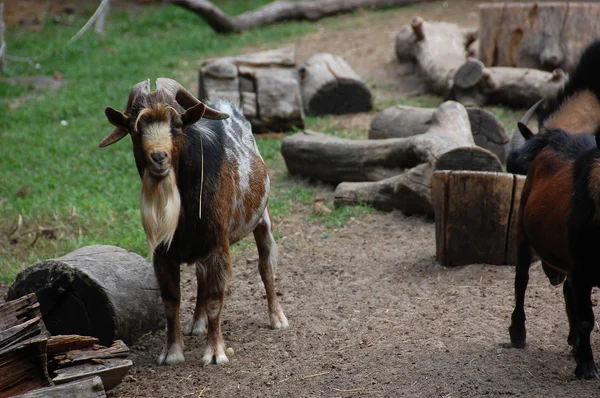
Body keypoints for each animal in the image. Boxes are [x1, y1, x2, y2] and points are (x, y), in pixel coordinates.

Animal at [99, 78, 290, 366]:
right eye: (135, 128)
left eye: (177, 124)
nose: (159, 158)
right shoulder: (163, 254)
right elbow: (171, 302)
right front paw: (172, 352)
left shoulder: (218, 246)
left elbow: (215, 300)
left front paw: (215, 353)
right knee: (201, 278)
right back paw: (196, 324)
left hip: (262, 219)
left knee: (266, 265)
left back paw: (277, 318)